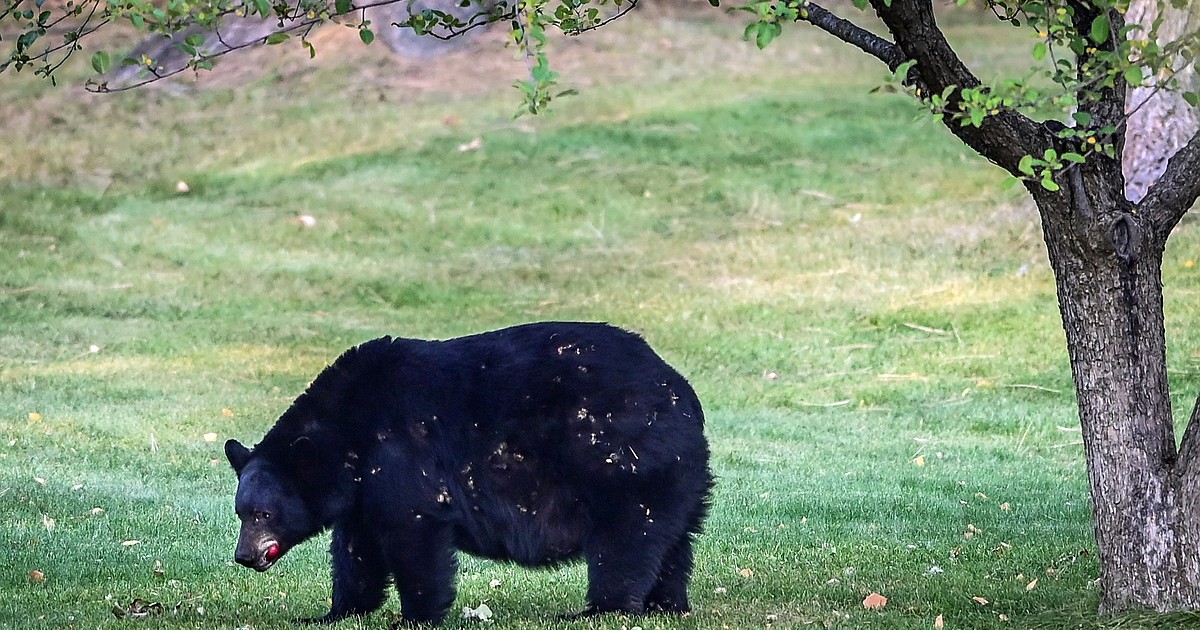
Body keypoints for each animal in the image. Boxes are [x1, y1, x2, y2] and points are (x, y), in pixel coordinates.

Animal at [224, 321, 713, 625]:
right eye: (240, 513)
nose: (243, 556)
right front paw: (332, 613)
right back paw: (666, 605)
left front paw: (414, 617)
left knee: (626, 540)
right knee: (672, 541)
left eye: (263, 515)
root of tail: (685, 395)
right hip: (677, 476)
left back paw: (599, 610)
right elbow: (355, 550)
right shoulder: (361, 490)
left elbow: (413, 534)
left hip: (625, 460)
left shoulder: (400, 452)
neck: (349, 429)